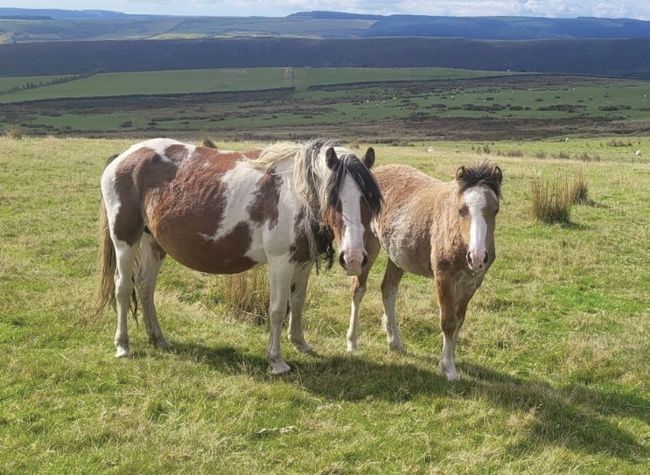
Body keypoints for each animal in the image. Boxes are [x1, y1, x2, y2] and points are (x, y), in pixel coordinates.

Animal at [96, 138, 382, 375]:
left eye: (369, 200)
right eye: (334, 200)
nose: (354, 259)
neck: (295, 192)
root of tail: (123, 157)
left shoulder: (303, 261)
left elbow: (298, 302)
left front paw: (300, 343)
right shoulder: (281, 262)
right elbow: (278, 309)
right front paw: (276, 361)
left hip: (153, 242)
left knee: (145, 287)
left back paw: (158, 339)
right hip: (125, 240)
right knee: (123, 288)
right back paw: (122, 345)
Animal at [346, 162, 502, 381]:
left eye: (495, 210)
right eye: (462, 210)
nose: (478, 257)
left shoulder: (472, 282)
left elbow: (459, 321)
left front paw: (449, 362)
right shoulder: (444, 277)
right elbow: (448, 322)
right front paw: (448, 369)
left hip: (397, 256)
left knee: (388, 290)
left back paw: (395, 342)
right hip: (368, 246)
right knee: (358, 290)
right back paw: (352, 342)